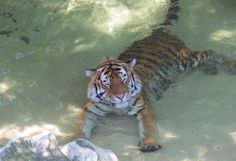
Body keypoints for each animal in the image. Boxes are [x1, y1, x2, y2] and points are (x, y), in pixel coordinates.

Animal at [73, 0, 236, 152]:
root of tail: (157, 33)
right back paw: (212, 69)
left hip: (185, 61)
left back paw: (230, 65)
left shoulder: (144, 108)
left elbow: (147, 128)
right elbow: (81, 126)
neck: (117, 108)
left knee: (210, 52)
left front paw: (149, 145)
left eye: (124, 78)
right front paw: (75, 141)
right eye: (107, 83)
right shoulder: (89, 110)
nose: (120, 96)